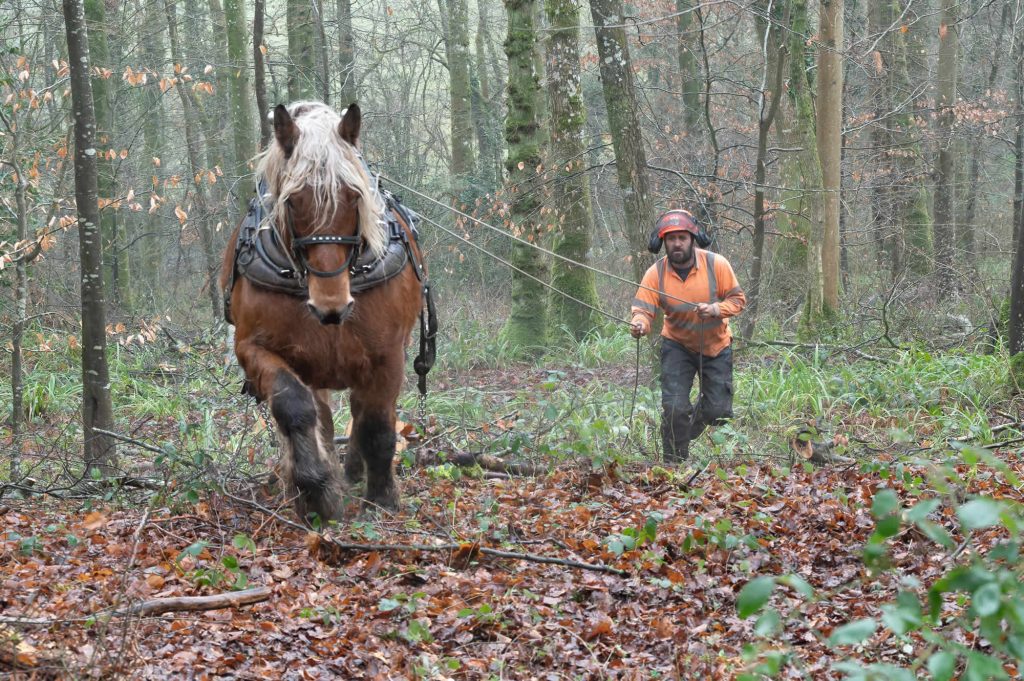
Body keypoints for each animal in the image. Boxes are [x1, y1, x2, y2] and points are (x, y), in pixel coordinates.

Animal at [220, 101, 427, 522]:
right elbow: (295, 407)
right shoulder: (254, 349)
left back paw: (356, 470)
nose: (331, 305)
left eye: (354, 196)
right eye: (293, 200)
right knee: (325, 417)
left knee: (362, 411)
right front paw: (315, 487)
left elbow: (377, 424)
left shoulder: (387, 353)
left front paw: (381, 498)